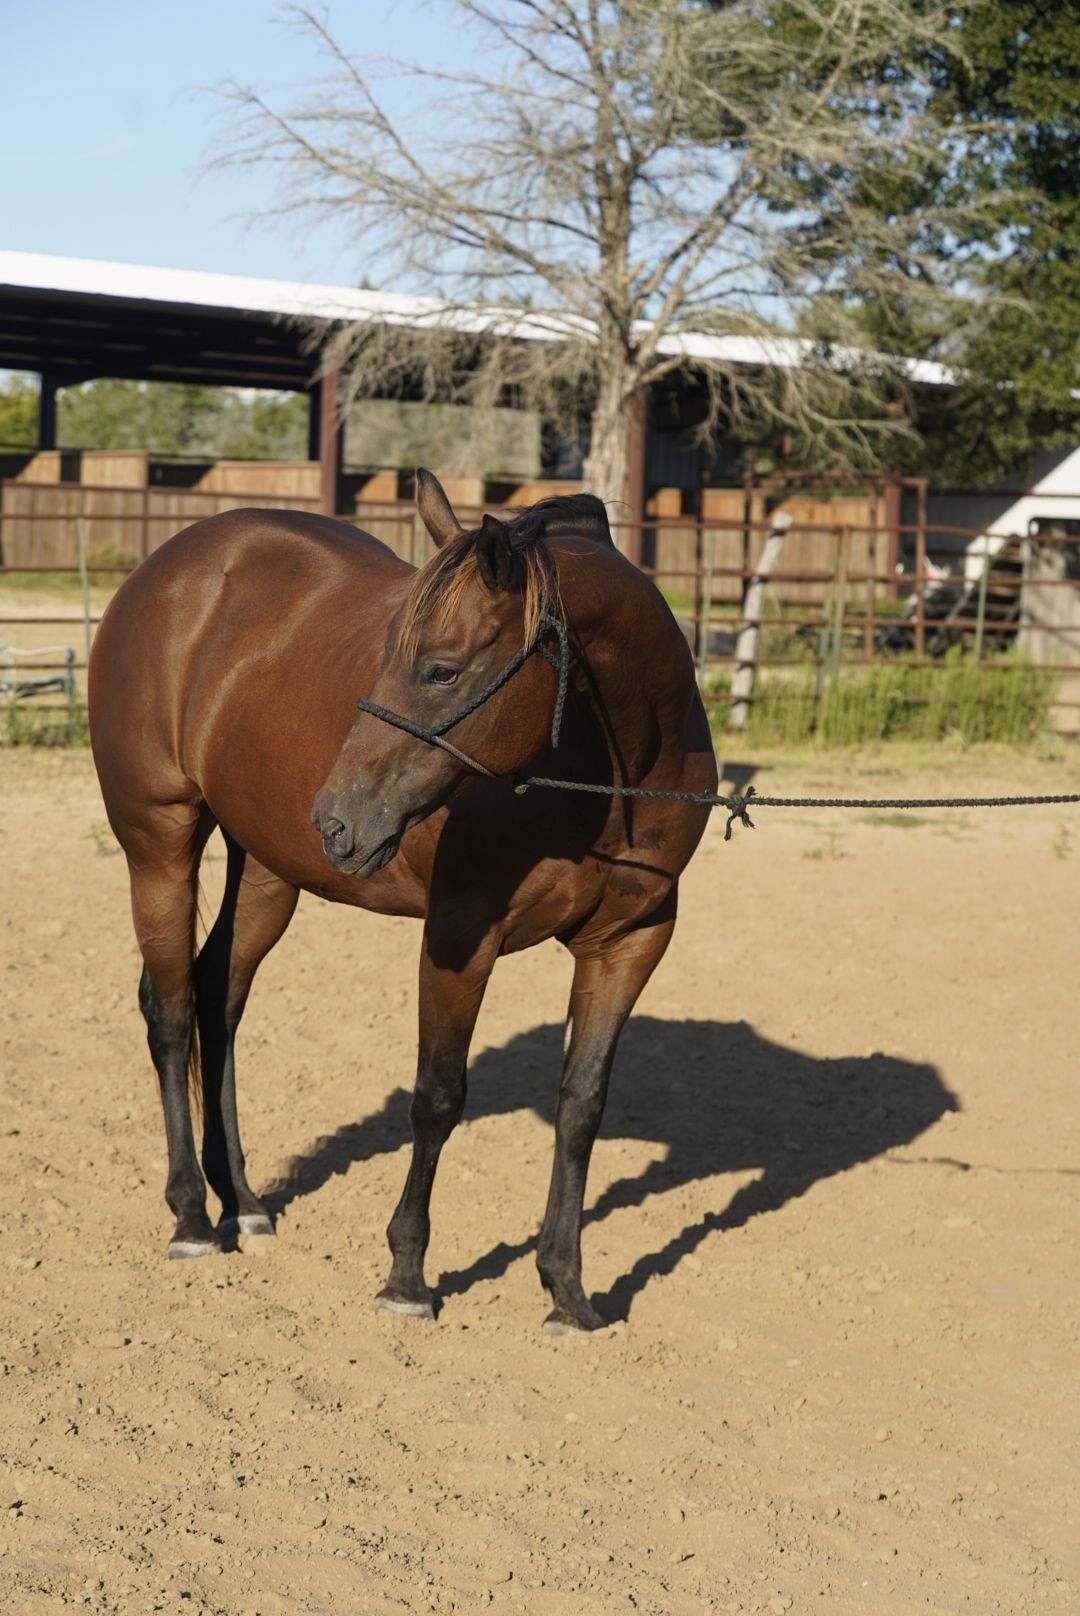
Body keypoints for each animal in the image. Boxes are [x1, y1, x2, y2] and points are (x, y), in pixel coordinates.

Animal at [87, 469, 717, 1333]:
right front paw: (408, 1278)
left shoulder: (632, 942)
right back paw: (190, 1216)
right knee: (173, 1010)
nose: (337, 821)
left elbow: (581, 1105)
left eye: (442, 670)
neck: (604, 776)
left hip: (269, 871)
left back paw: (241, 1201)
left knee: (219, 998)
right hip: (159, 843)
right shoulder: (461, 935)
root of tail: (165, 573)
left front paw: (568, 1290)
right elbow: (438, 1097)